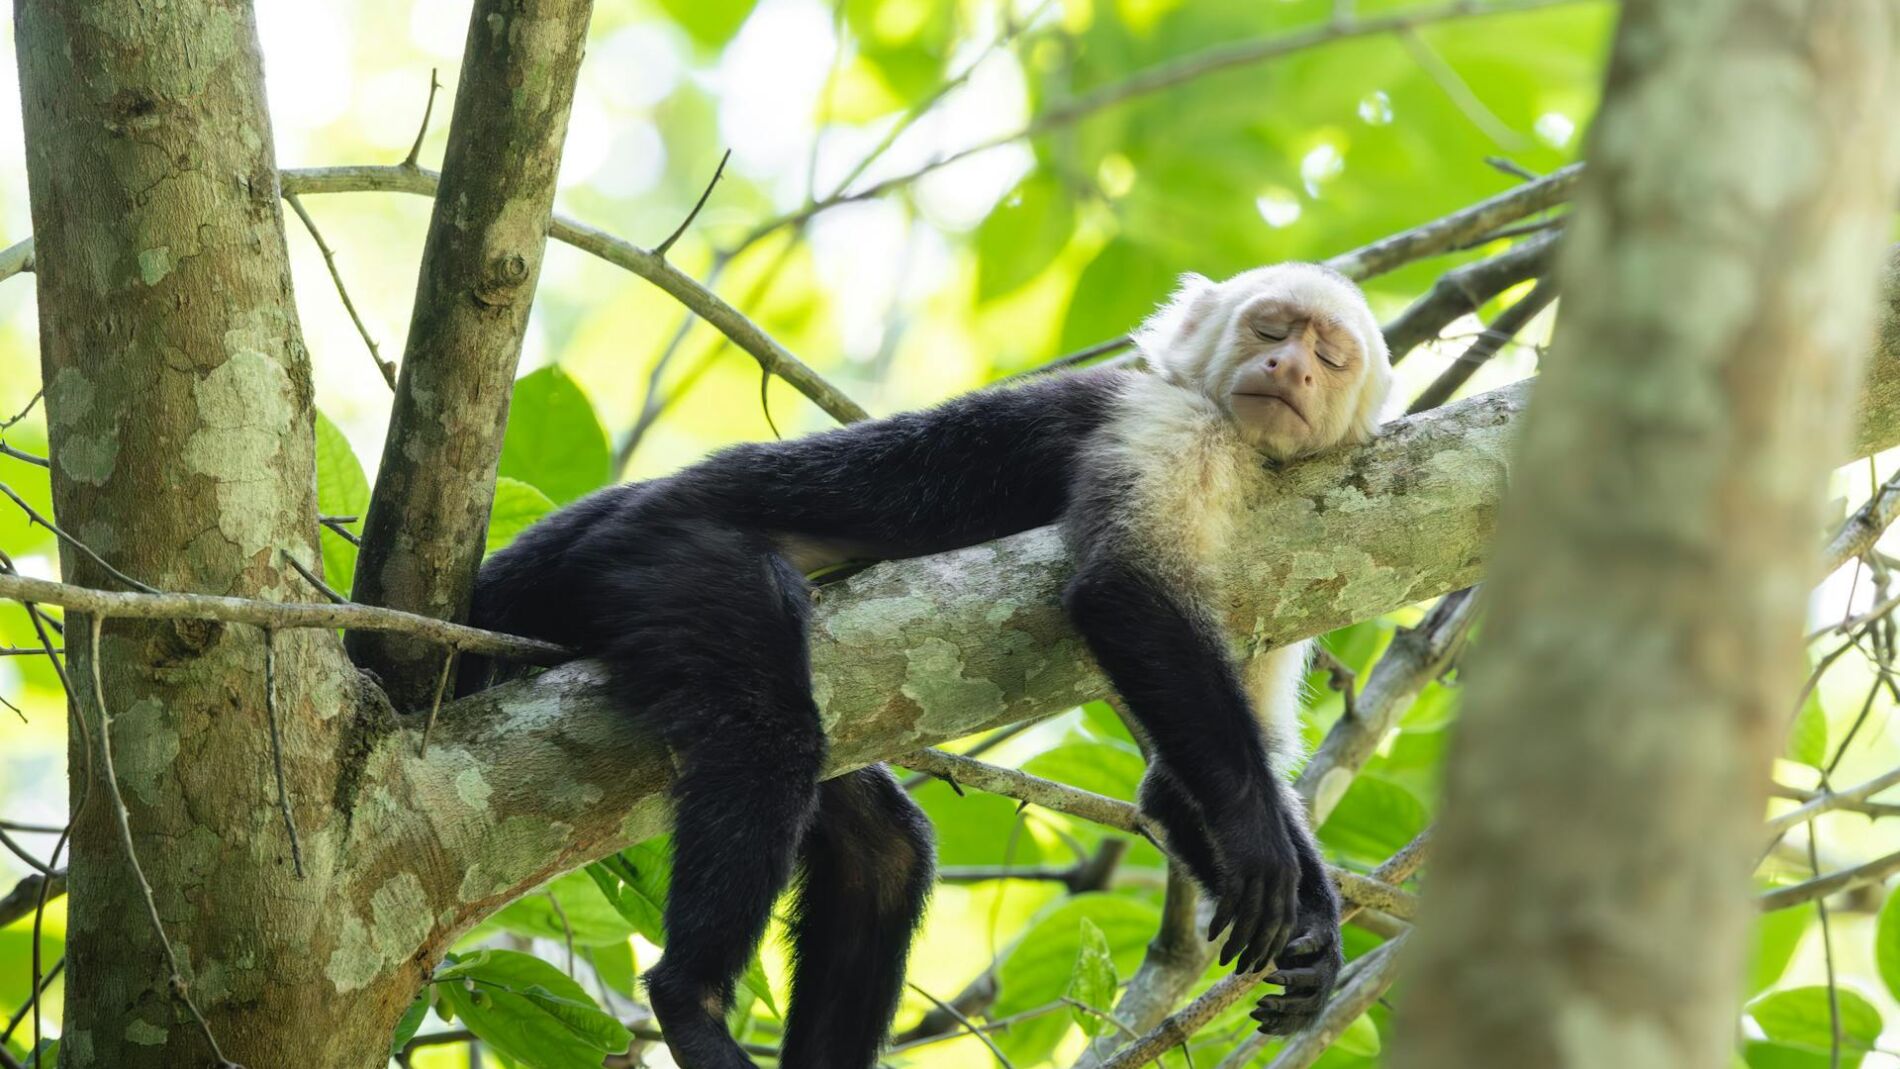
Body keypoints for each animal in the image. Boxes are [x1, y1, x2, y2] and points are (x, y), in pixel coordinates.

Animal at [467, 262, 1393, 1069]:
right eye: (1270, 327)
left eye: (1329, 355)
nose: (1287, 366)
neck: (1246, 454)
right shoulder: (1167, 424)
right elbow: (1122, 590)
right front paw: (1258, 838)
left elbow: (1170, 787)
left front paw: (1313, 931)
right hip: (663, 556)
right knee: (768, 730)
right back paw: (688, 1000)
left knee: (885, 847)